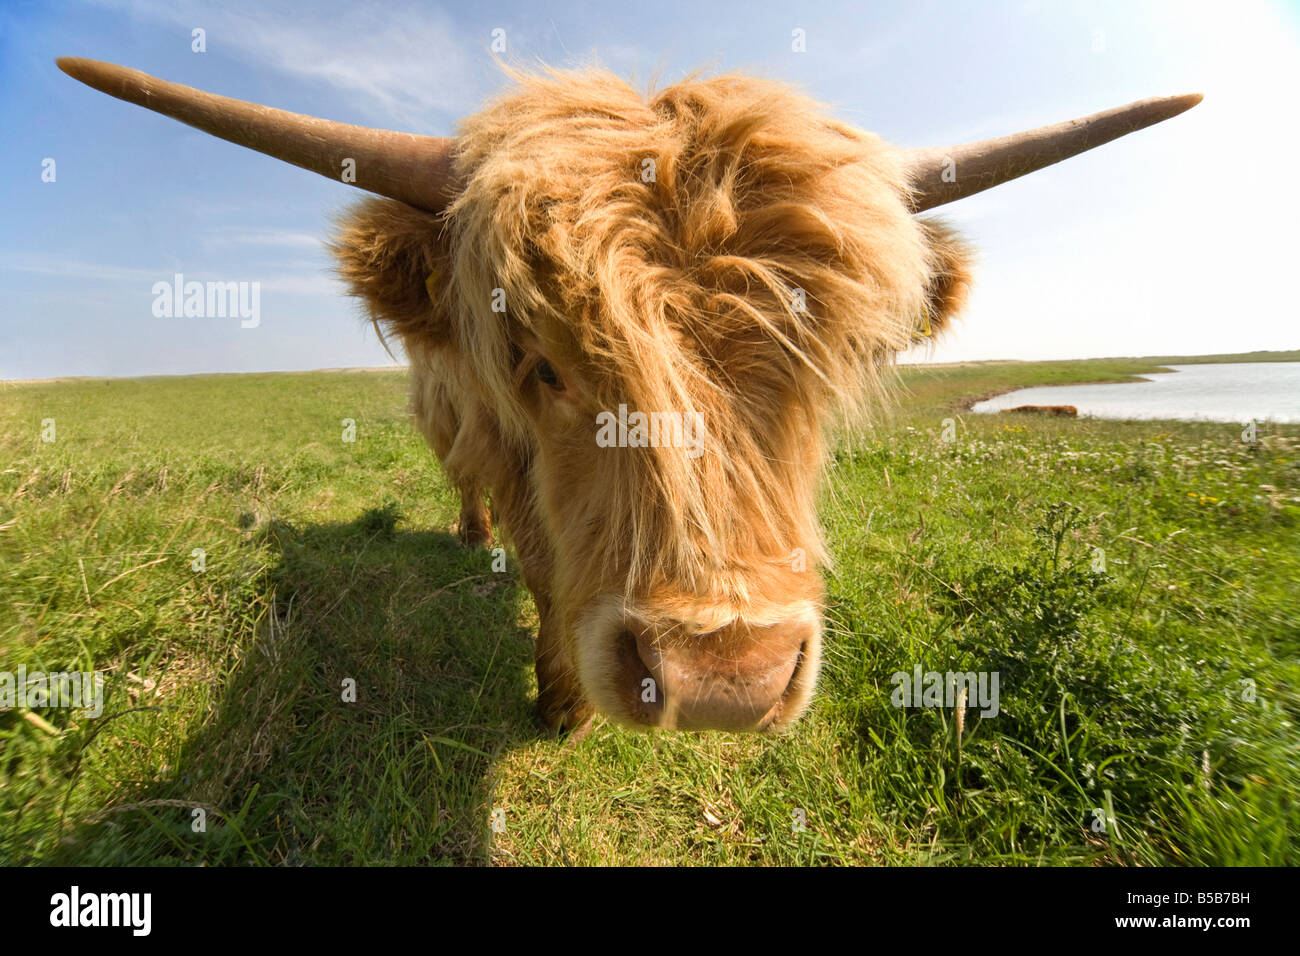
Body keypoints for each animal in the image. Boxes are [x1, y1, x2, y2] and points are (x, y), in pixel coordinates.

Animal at [57, 57, 1200, 733]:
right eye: (541, 359)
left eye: (827, 356)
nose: (726, 678)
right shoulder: (515, 460)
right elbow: (543, 572)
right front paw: (557, 702)